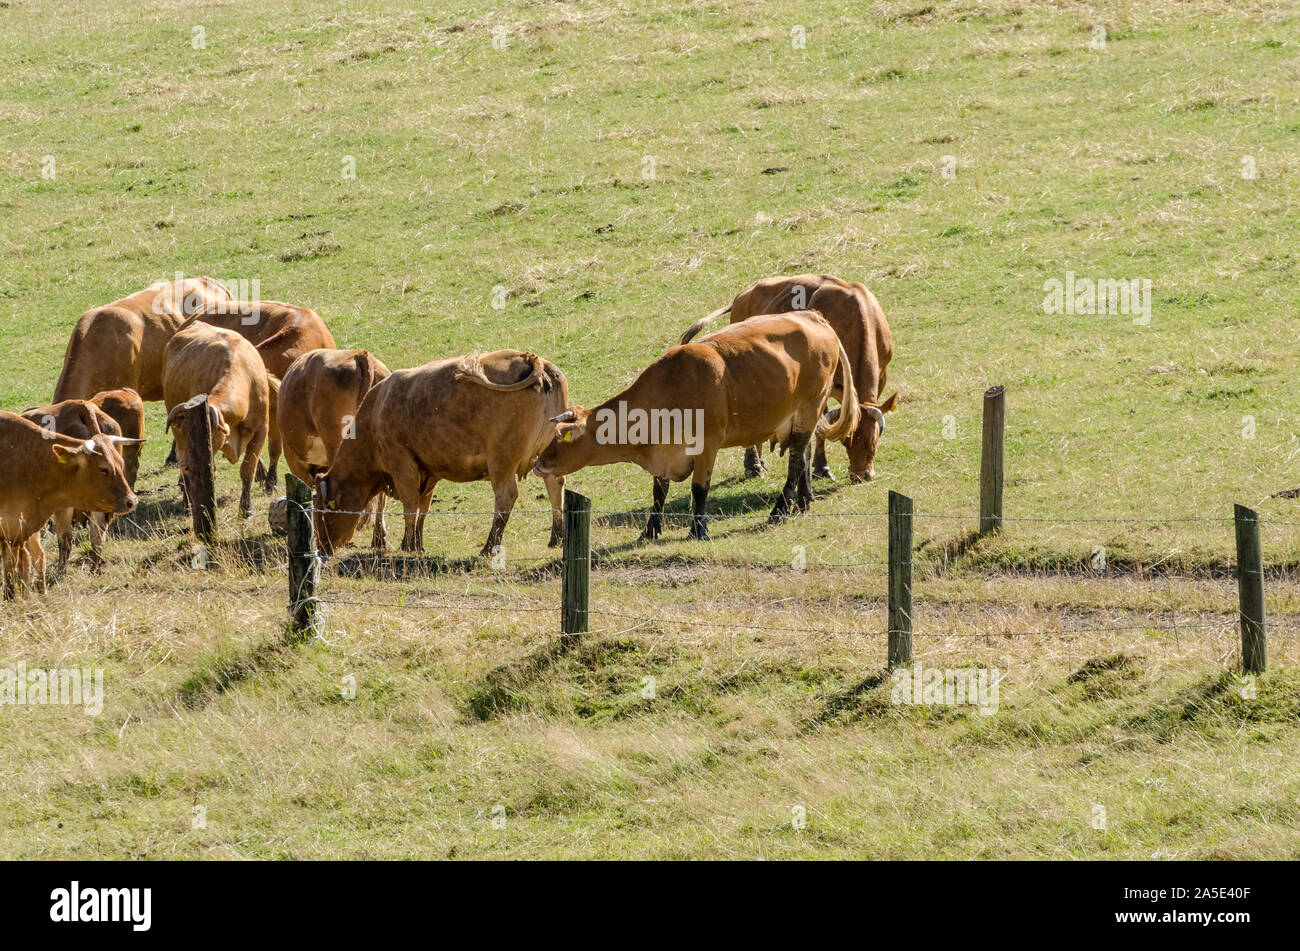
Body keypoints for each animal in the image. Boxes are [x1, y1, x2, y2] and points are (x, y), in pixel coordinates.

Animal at [162, 322, 271, 519]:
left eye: (203, 432)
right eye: (184, 431)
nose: (186, 465)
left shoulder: (261, 430)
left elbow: (247, 469)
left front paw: (246, 509)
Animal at [314, 350, 569, 557]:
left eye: (323, 512)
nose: (322, 547)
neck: (377, 410)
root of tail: (534, 360)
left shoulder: (403, 465)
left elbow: (411, 507)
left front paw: (407, 545)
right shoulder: (429, 471)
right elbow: (423, 509)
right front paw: (417, 544)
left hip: (501, 460)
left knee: (505, 497)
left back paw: (489, 546)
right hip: (548, 453)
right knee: (555, 485)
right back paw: (557, 537)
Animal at [534, 312, 859, 541]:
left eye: (564, 436)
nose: (538, 464)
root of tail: (813, 315)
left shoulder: (707, 446)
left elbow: (699, 489)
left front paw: (698, 531)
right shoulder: (662, 453)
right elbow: (658, 493)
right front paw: (649, 531)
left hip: (808, 409)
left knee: (794, 461)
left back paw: (780, 510)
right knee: (802, 455)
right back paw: (803, 502)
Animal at [679, 274, 896, 483]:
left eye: (873, 440)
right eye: (845, 441)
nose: (861, 475)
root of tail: (744, 294)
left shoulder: (881, 378)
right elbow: (820, 429)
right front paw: (821, 468)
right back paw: (753, 465)